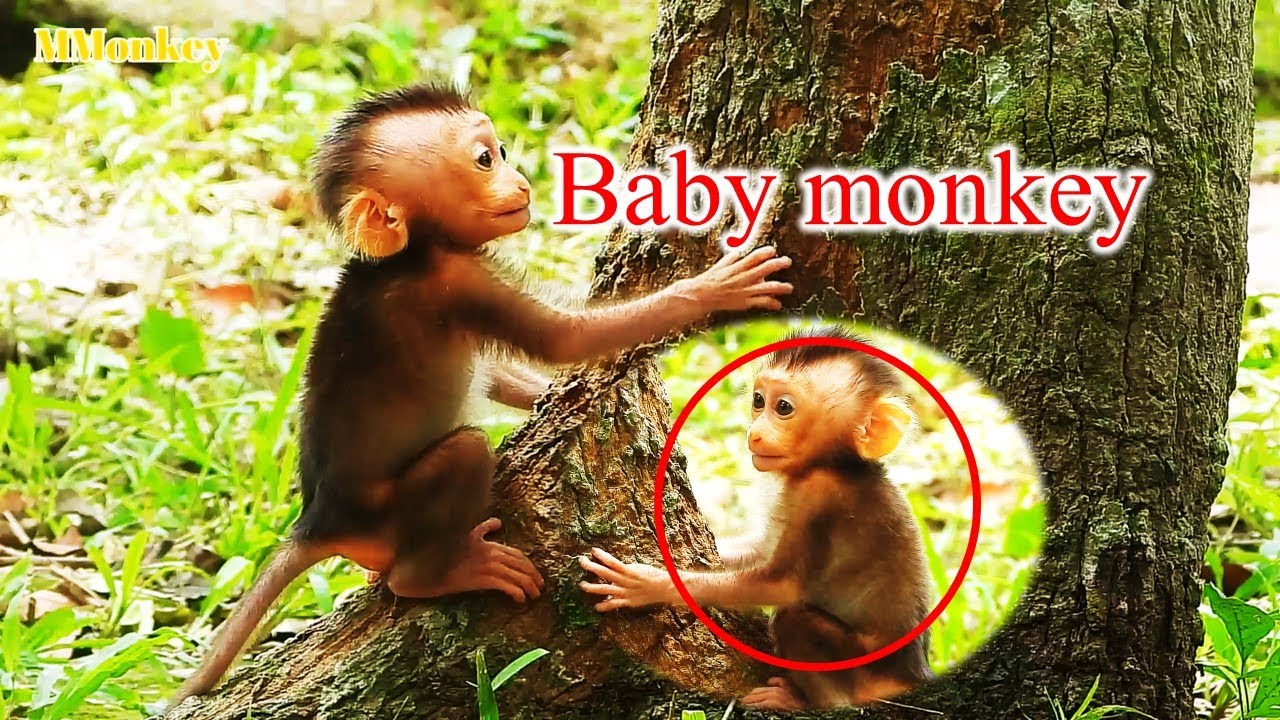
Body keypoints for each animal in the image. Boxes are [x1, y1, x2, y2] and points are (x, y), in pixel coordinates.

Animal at [169, 83, 794, 709]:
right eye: (484, 159)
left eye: (500, 150)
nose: (519, 181)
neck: (413, 251)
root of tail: (319, 522)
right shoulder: (459, 284)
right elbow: (567, 339)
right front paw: (717, 286)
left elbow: (495, 374)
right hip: (386, 514)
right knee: (465, 455)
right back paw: (435, 573)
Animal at [579, 326, 934, 711]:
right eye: (759, 401)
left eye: (784, 408)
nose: (755, 432)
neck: (834, 464)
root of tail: (914, 674)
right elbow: (761, 551)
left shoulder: (818, 495)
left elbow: (781, 585)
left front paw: (647, 584)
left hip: (867, 673)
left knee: (795, 620)